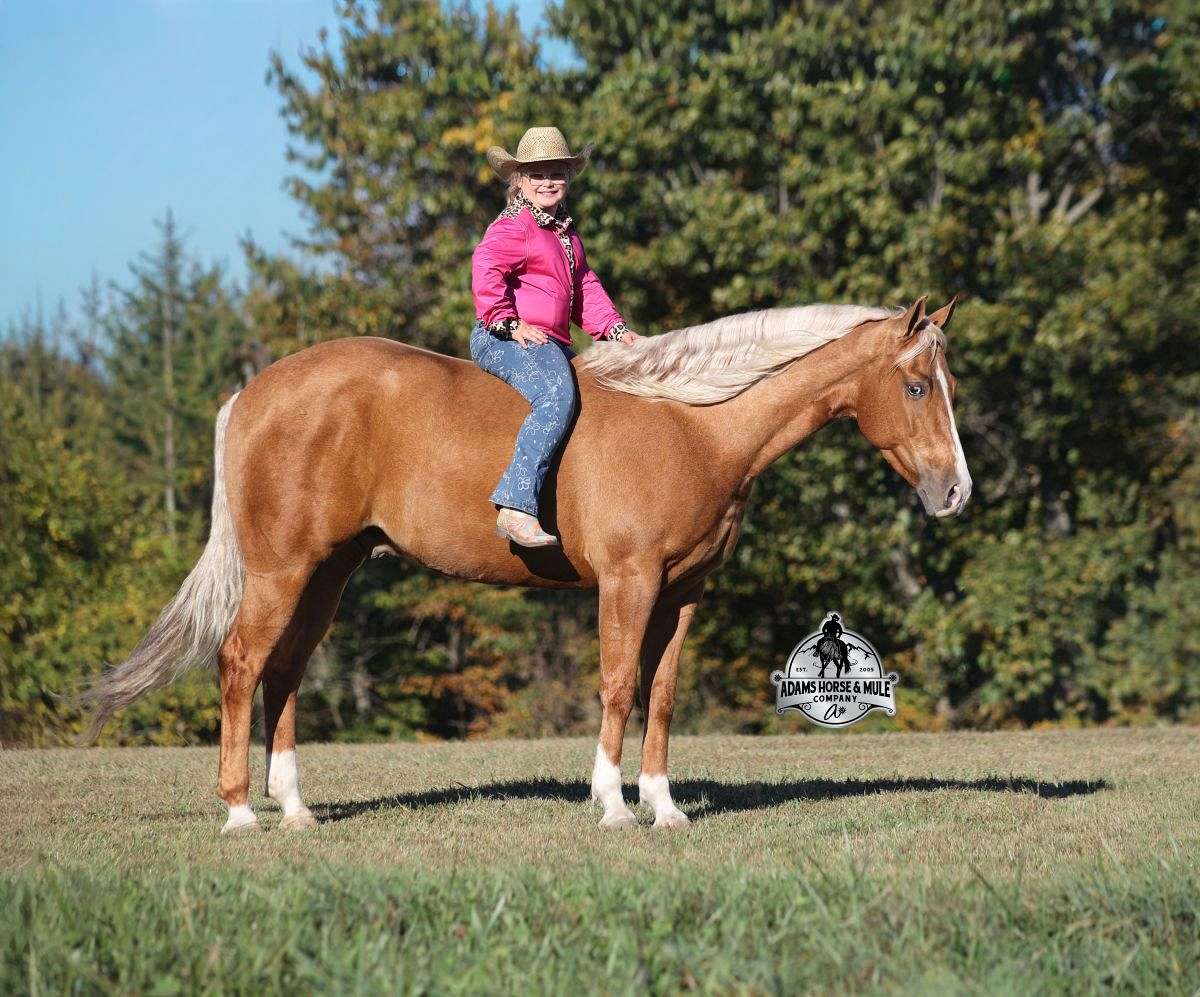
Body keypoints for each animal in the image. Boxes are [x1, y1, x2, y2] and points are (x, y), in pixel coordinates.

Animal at [83, 294, 970, 833]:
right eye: (918, 386)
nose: (955, 490)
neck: (693, 423)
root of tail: (252, 393)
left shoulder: (683, 593)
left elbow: (663, 696)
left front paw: (665, 807)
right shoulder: (628, 582)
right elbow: (617, 686)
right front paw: (613, 806)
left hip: (328, 571)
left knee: (285, 671)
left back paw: (295, 806)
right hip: (281, 569)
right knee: (239, 663)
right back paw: (240, 812)